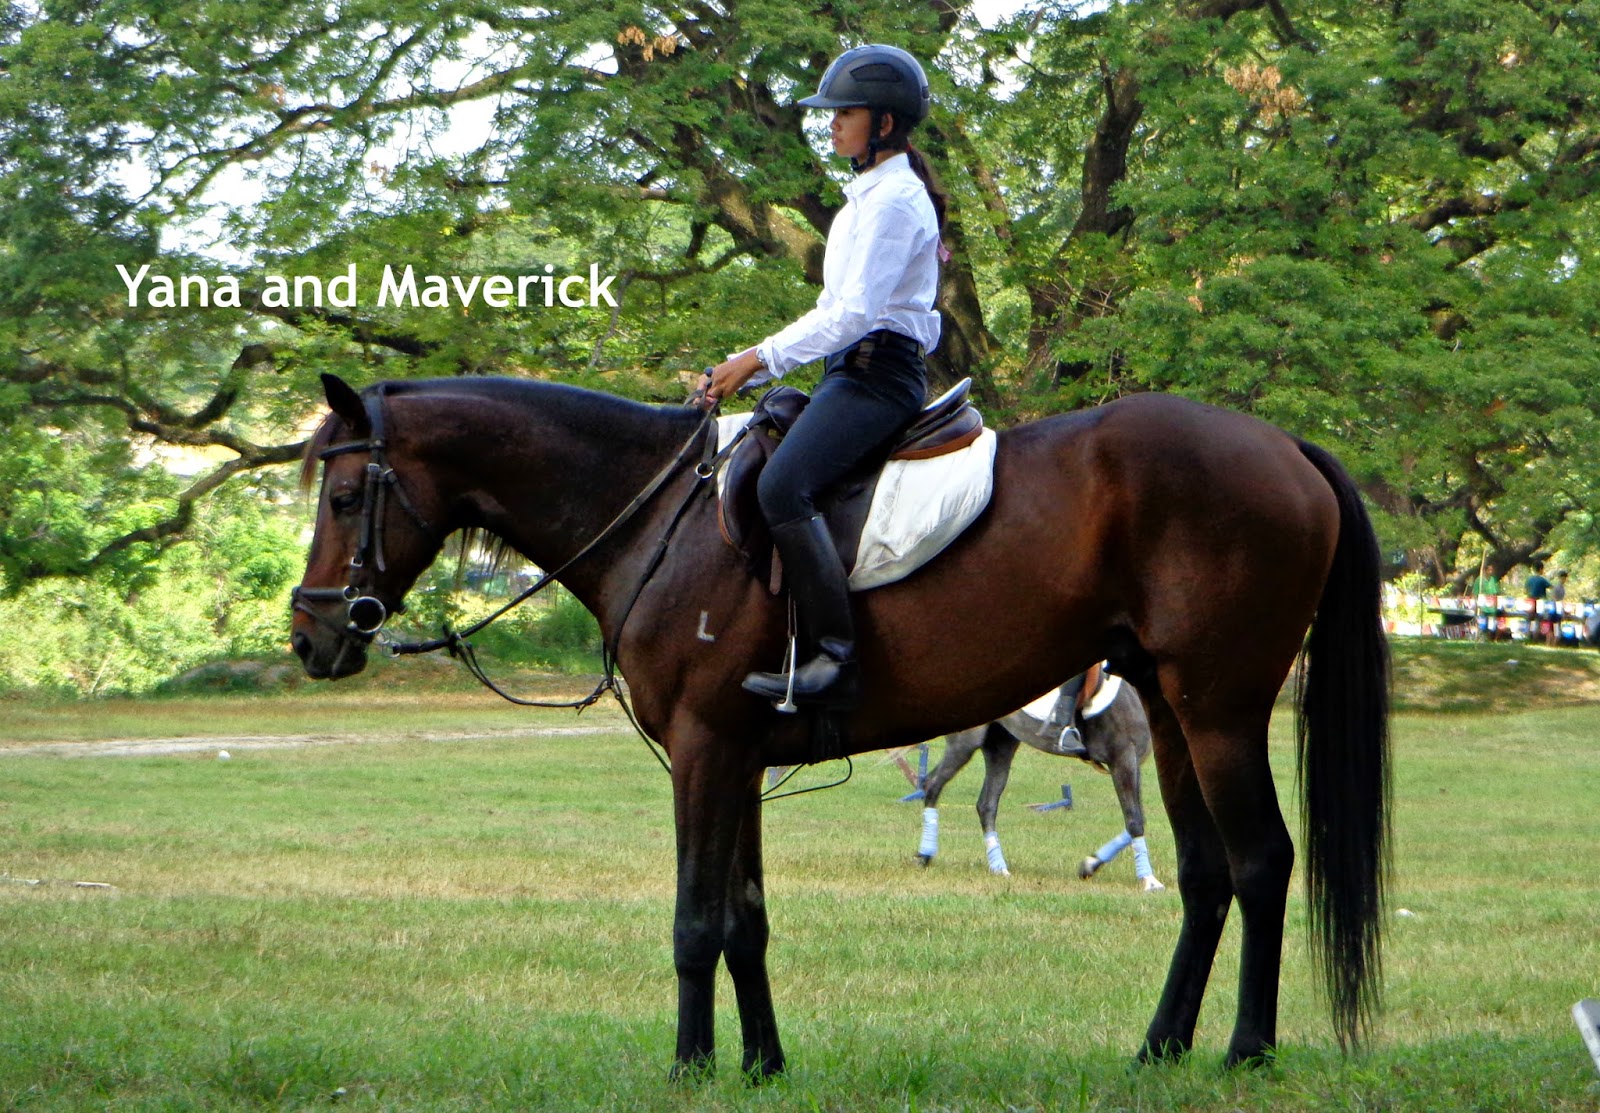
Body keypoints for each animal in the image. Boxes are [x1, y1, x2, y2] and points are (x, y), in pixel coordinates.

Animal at [915, 672, 1165, 890]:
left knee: (986, 804)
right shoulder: (1122, 758)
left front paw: (1089, 865)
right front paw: (1148, 880)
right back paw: (925, 855)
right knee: (932, 784)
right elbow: (1134, 820)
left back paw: (998, 867)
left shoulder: (1131, 763)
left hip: (1001, 745)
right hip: (966, 742)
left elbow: (1137, 817)